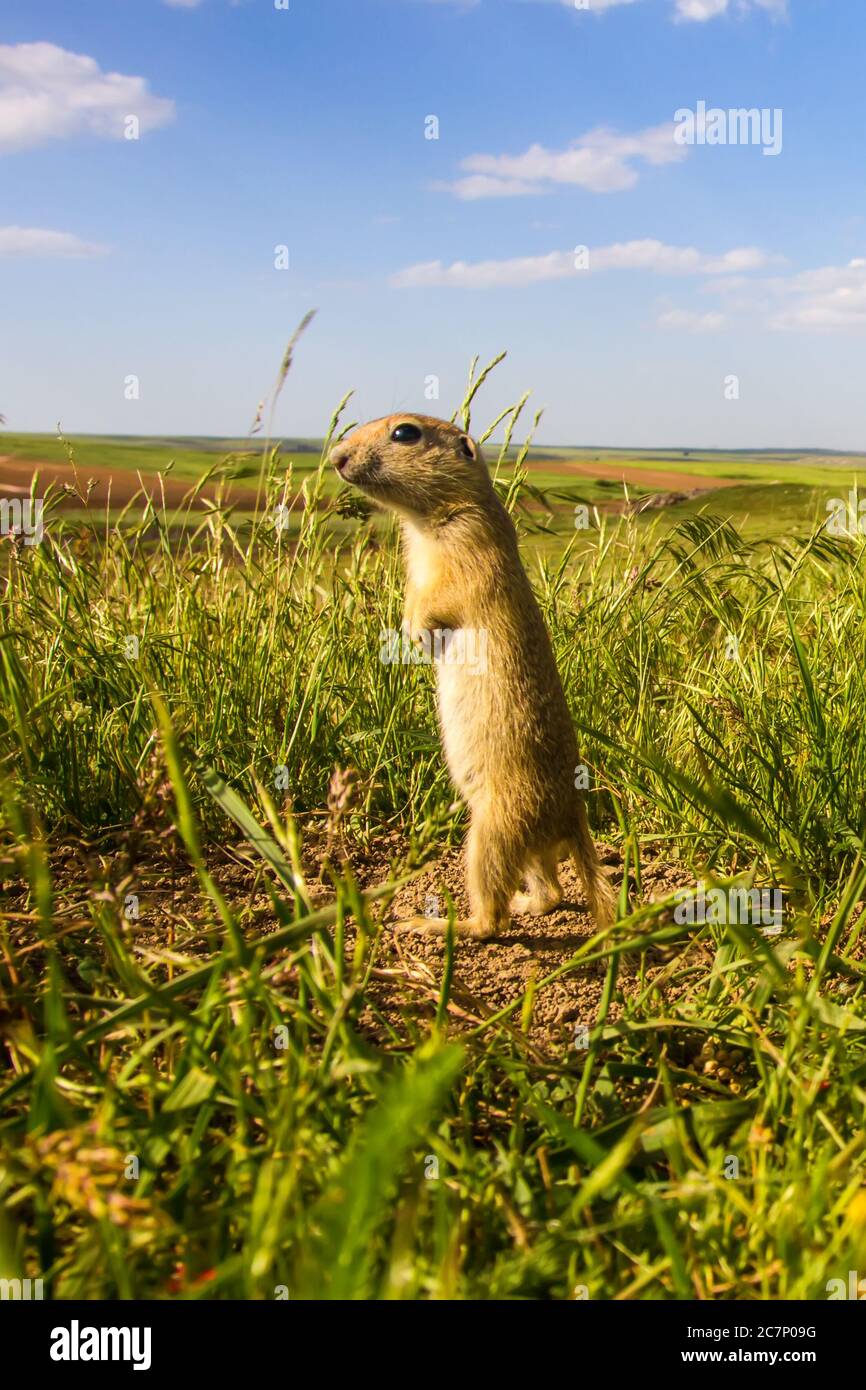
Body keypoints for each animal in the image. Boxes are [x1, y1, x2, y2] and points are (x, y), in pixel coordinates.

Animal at [330, 413, 614, 940]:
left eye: (404, 432)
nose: (336, 457)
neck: (424, 521)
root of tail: (573, 815)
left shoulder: (469, 547)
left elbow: (441, 598)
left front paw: (415, 633)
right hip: (528, 846)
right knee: (550, 891)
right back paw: (526, 901)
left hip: (491, 830)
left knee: (493, 919)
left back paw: (434, 924)